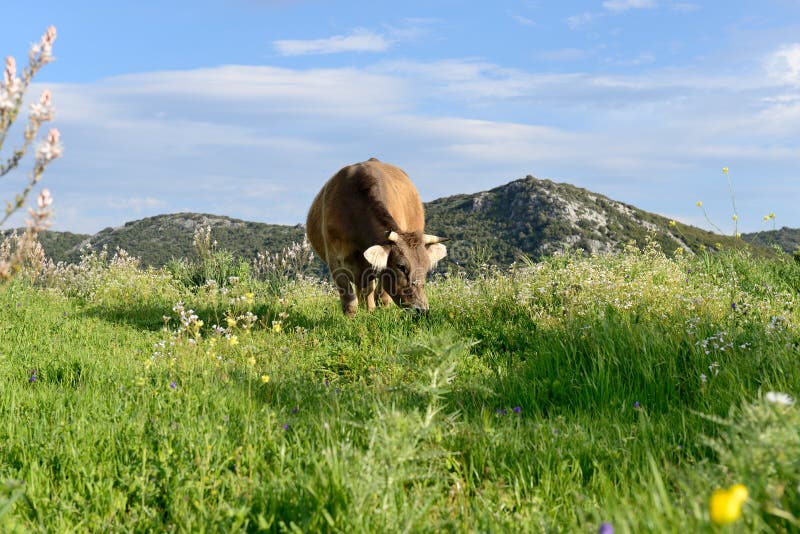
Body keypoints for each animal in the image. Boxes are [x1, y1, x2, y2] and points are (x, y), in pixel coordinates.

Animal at [306, 158, 448, 316]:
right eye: (401, 266)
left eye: (426, 267)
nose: (421, 309)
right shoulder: (334, 260)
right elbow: (349, 301)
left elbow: (382, 298)